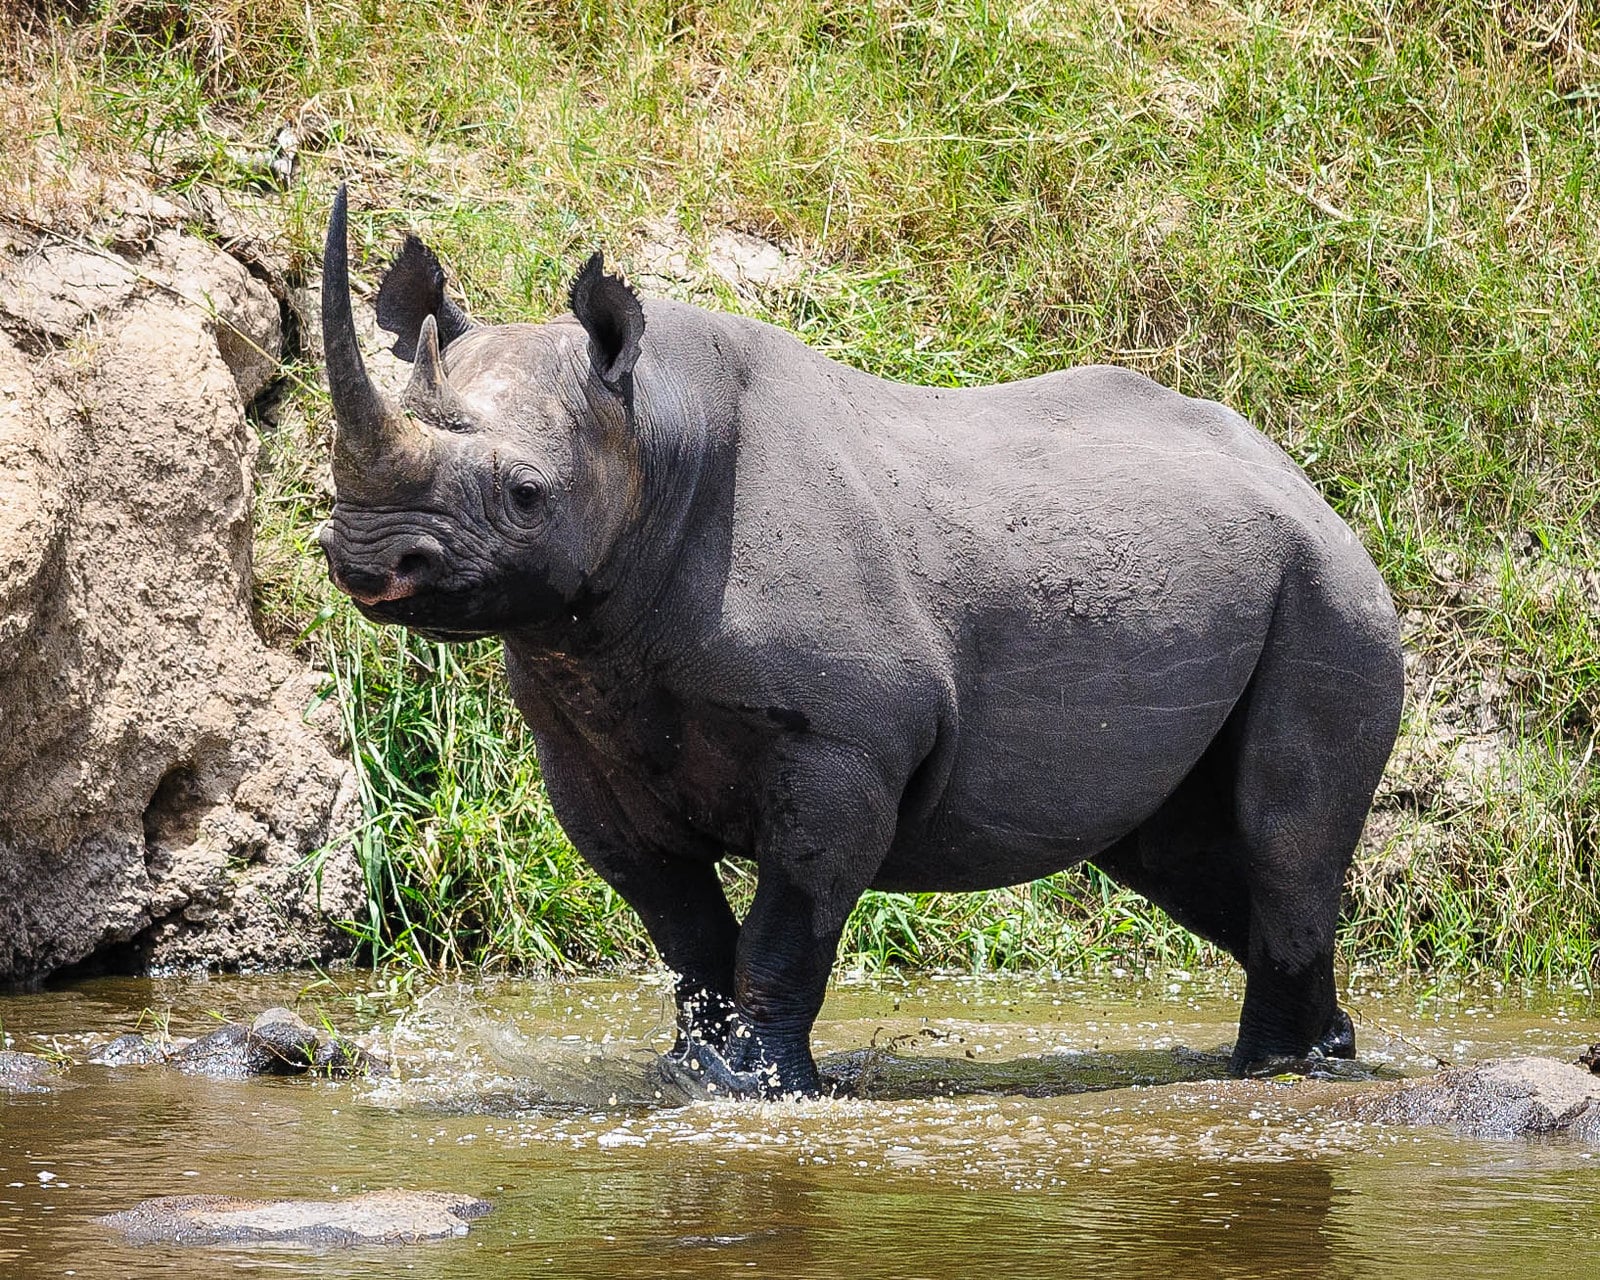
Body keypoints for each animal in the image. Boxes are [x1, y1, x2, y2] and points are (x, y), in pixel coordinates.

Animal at [317, 187, 1403, 1096]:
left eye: (526, 494)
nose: (368, 556)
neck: (649, 435)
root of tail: (1300, 477)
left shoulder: (845, 741)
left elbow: (788, 921)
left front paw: (761, 1086)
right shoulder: (586, 747)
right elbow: (681, 927)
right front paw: (693, 1073)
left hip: (1327, 588)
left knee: (1282, 831)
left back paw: (1273, 1072)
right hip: (1234, 565)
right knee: (1178, 854)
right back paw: (1325, 1050)